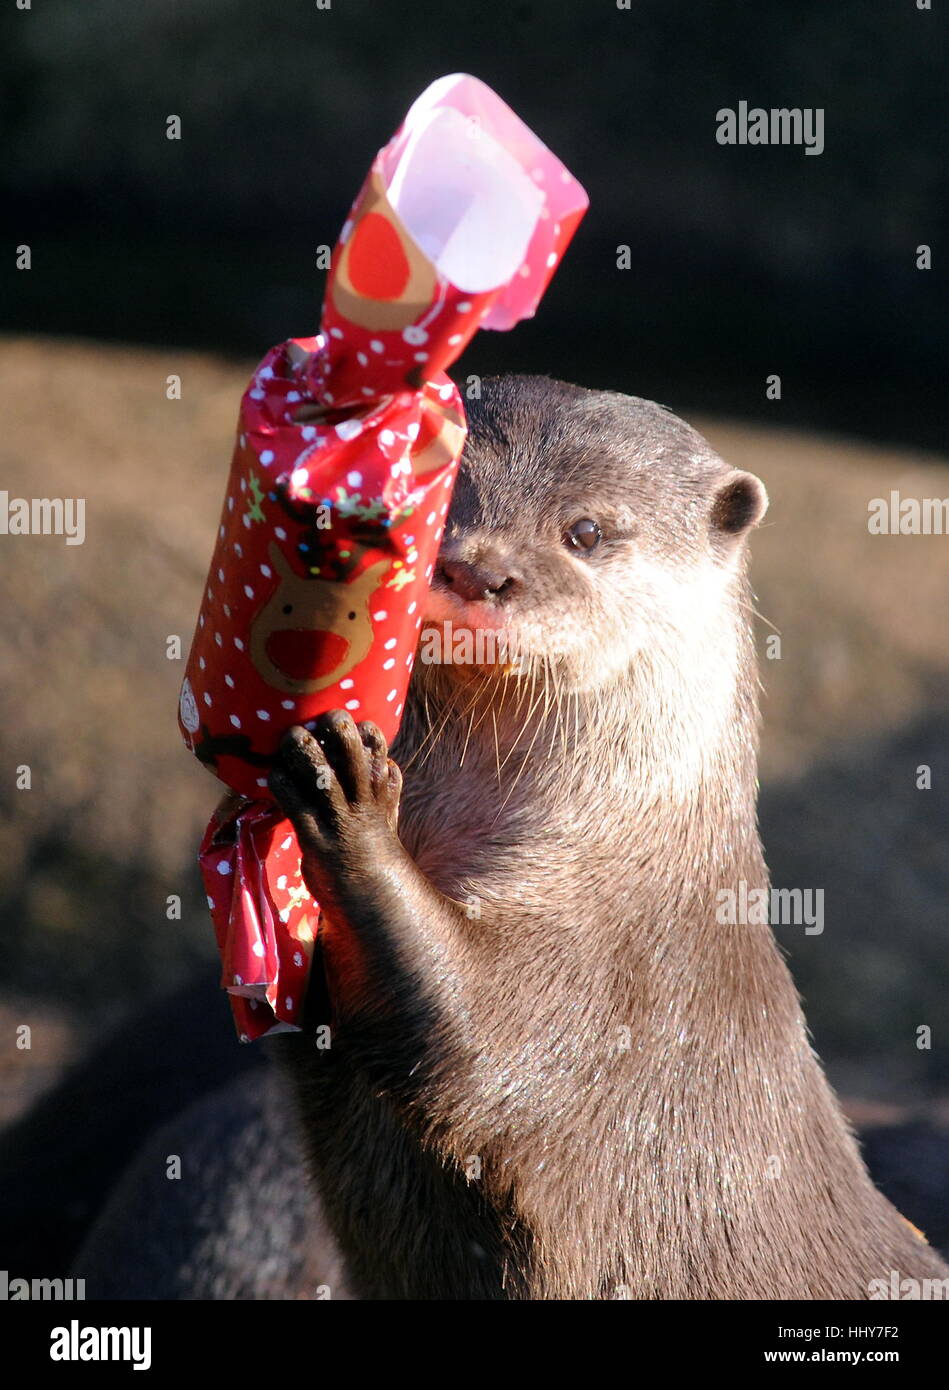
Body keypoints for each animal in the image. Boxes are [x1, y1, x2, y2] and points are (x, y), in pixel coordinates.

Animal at [74, 374, 948, 1299]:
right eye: (443, 498)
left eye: (585, 532)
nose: (476, 569)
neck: (625, 862)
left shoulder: (609, 983)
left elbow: (471, 1035)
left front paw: (351, 810)